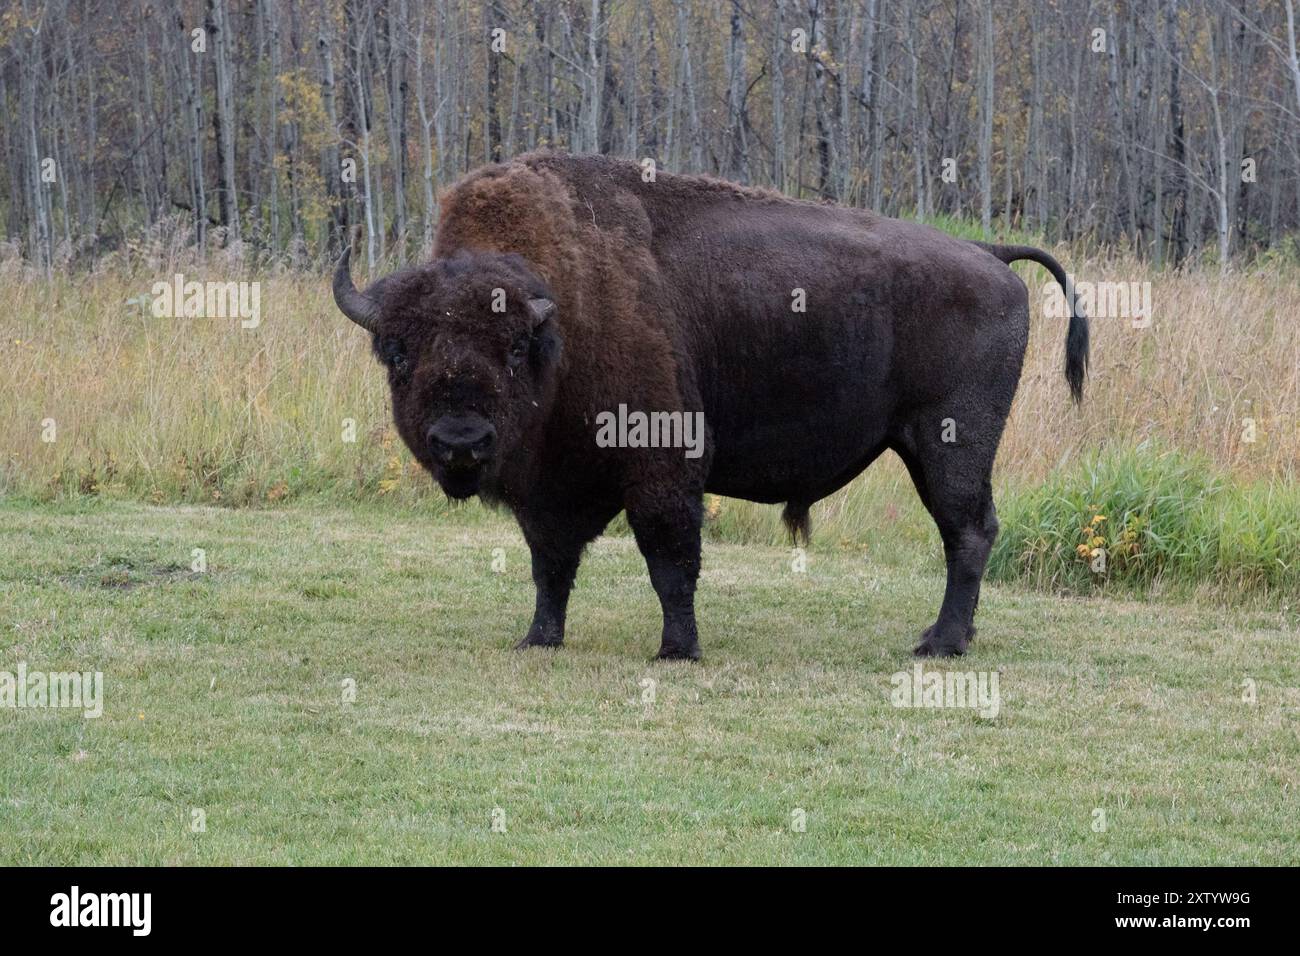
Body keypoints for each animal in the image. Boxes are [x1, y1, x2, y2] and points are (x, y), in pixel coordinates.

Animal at [332, 153, 1087, 659]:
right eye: (396, 350)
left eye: (516, 347)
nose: (460, 440)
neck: (564, 320)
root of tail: (989, 255)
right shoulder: (547, 491)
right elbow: (551, 563)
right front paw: (539, 639)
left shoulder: (663, 465)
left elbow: (670, 559)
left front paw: (677, 649)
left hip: (949, 443)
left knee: (969, 531)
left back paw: (940, 643)